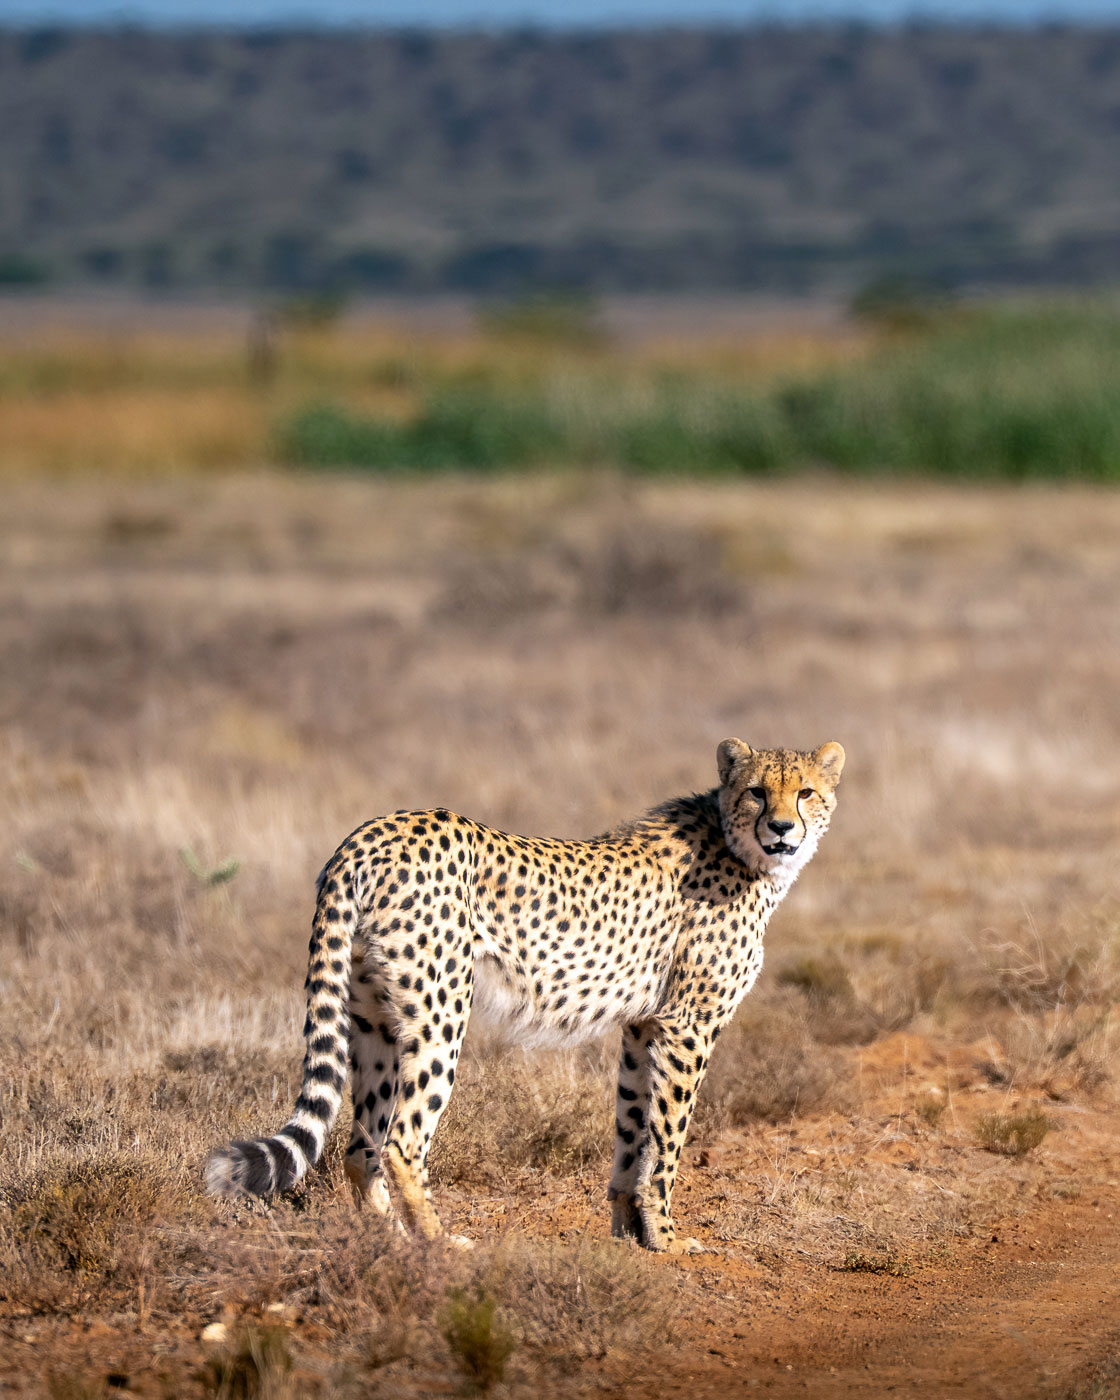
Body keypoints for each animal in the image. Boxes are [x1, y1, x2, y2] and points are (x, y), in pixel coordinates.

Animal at [206, 737, 845, 1253]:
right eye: (758, 793)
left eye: (805, 792)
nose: (782, 828)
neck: (739, 850)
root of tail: (371, 832)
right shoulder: (688, 1027)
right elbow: (666, 1140)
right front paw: (664, 1237)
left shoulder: (643, 1026)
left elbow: (630, 1129)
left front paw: (626, 1232)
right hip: (440, 1011)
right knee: (403, 1139)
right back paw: (439, 1242)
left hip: (375, 1020)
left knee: (360, 1144)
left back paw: (389, 1242)